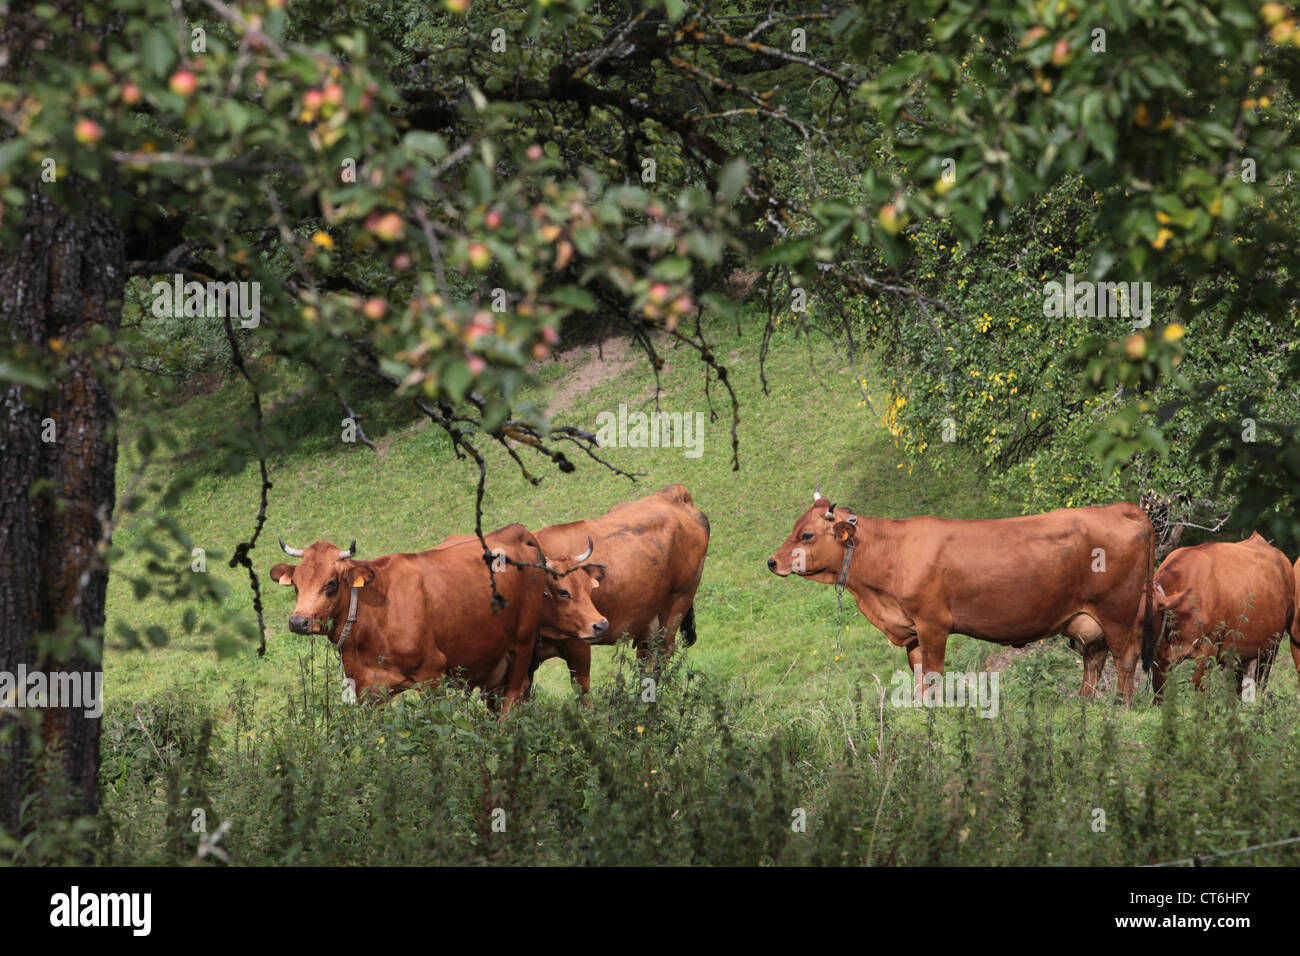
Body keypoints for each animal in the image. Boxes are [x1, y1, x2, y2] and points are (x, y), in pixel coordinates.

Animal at [268, 524, 606, 712]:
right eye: (296, 583)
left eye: (331, 583)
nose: (298, 622)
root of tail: (515, 532)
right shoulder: (367, 692)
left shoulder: (432, 675)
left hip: (523, 647)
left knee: (514, 700)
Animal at [528, 484, 710, 699]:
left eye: (587, 589)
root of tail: (673, 494)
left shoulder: (578, 643)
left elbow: (582, 691)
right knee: (644, 659)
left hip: (678, 602)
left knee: (661, 655)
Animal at [767, 486, 1156, 704]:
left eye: (806, 535)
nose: (772, 561)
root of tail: (1119, 508)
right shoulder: (912, 629)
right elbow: (918, 671)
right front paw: (917, 706)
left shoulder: (933, 623)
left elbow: (933, 672)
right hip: (1087, 618)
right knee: (1095, 658)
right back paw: (1084, 702)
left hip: (1118, 610)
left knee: (1125, 658)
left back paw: (1120, 705)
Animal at [1150, 533, 1296, 698]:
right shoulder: (1160, 660)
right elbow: (1159, 694)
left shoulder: (1208, 650)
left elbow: (1198, 688)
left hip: (1273, 645)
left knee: (1261, 680)